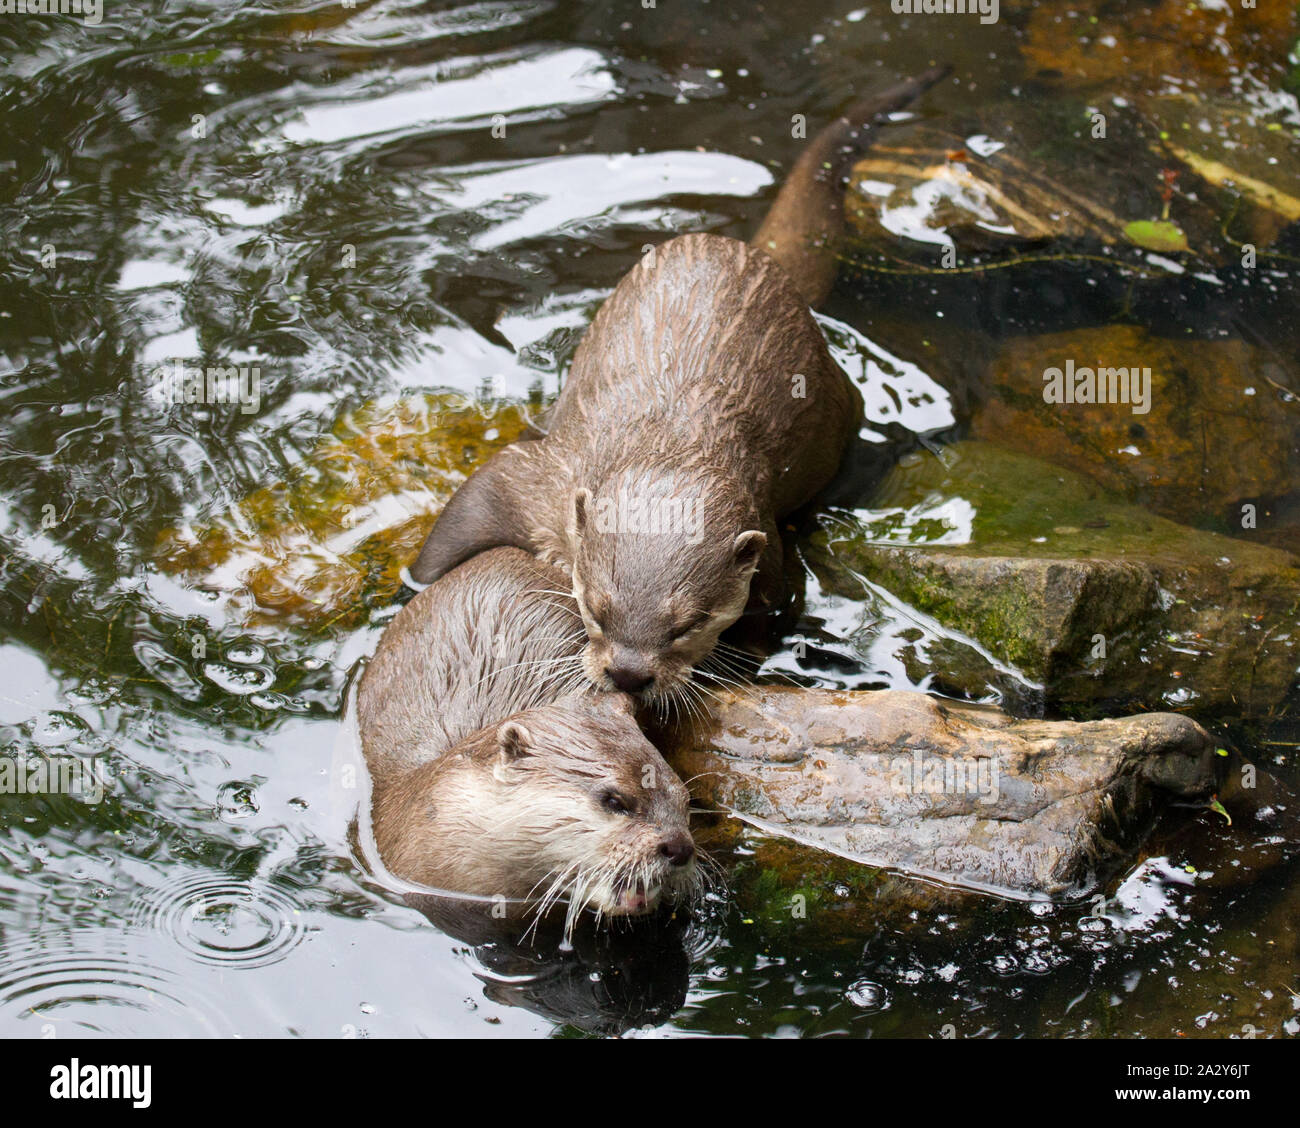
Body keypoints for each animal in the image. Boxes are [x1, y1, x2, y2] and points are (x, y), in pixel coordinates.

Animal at [408, 68, 949, 706]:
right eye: (595, 608)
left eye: (687, 624)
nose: (628, 673)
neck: (668, 441)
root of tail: (751, 252)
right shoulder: (546, 477)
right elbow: (465, 517)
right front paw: (411, 587)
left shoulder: (766, 549)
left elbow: (772, 612)